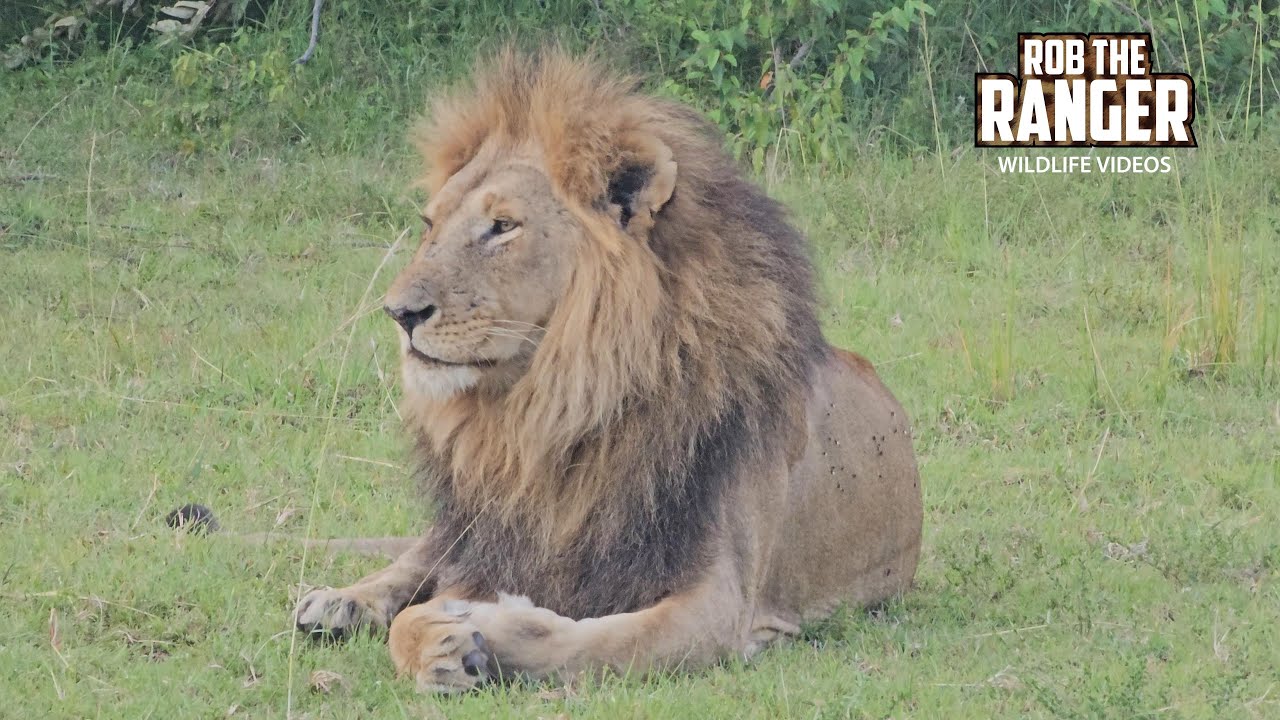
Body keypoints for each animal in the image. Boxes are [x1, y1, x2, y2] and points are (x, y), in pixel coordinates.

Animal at [288, 48, 922, 693]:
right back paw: (338, 602)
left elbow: (594, 641)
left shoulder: (722, 602)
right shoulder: (504, 542)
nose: (399, 312)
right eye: (428, 224)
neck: (559, 411)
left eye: (503, 226)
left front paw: (475, 632)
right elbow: (415, 611)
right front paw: (437, 637)